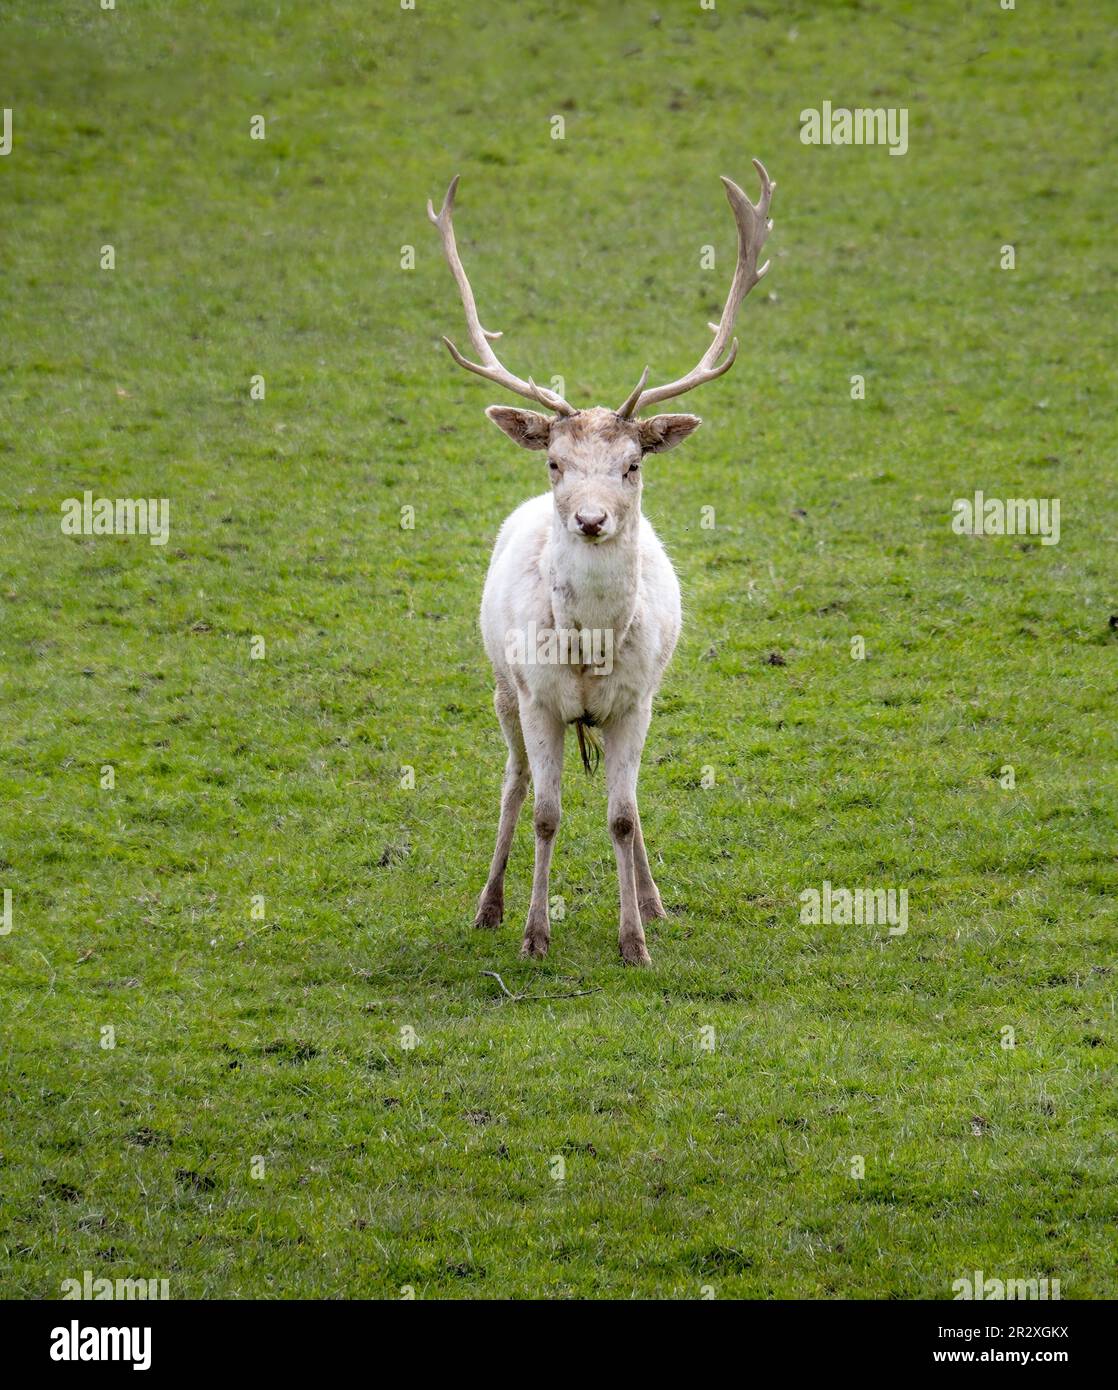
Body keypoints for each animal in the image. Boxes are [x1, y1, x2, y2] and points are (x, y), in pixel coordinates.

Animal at [426, 160, 775, 964]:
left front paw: (635, 939)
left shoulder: (635, 701)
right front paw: (533, 935)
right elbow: (547, 813)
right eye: (555, 460)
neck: (588, 645)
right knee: (514, 783)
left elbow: (621, 815)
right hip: (501, 687)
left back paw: (652, 900)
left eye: (633, 464)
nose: (590, 519)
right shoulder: (538, 699)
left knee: (631, 800)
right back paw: (488, 905)